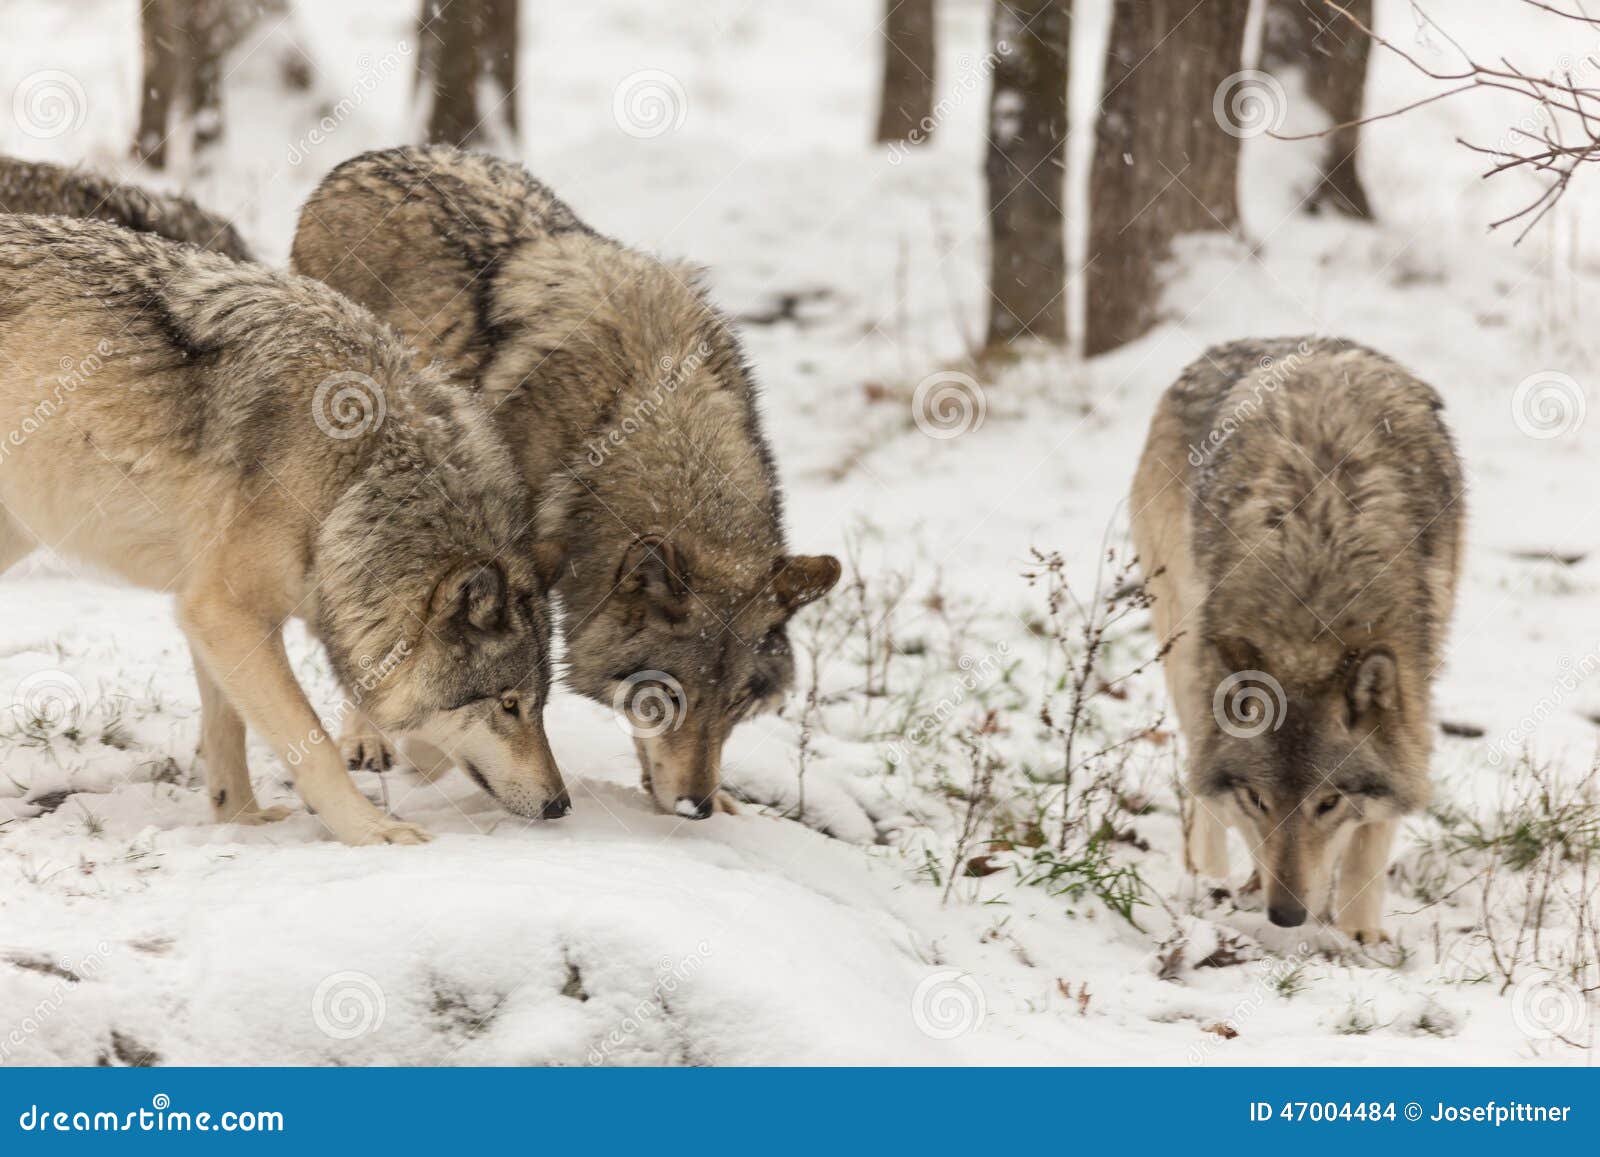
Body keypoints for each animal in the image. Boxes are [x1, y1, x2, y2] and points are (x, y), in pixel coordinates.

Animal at [0, 215, 568, 844]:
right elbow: (310, 742)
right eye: (507, 704)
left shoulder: (210, 614)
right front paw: (371, 830)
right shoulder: (228, 611)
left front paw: (241, 820)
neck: (355, 477)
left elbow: (229, 733)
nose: (560, 805)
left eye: (541, 705)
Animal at [290, 146, 840, 819]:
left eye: (736, 703)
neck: (650, 406)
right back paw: (365, 739)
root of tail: (361, 161)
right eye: (667, 696)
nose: (697, 807)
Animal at [1130, 337, 1464, 941]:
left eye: (1328, 803)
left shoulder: (1411, 689)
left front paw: (1358, 937)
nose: (1285, 916)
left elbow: (1368, 844)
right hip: (1183, 647)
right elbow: (1248, 827)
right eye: (1259, 798)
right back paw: (1206, 880)